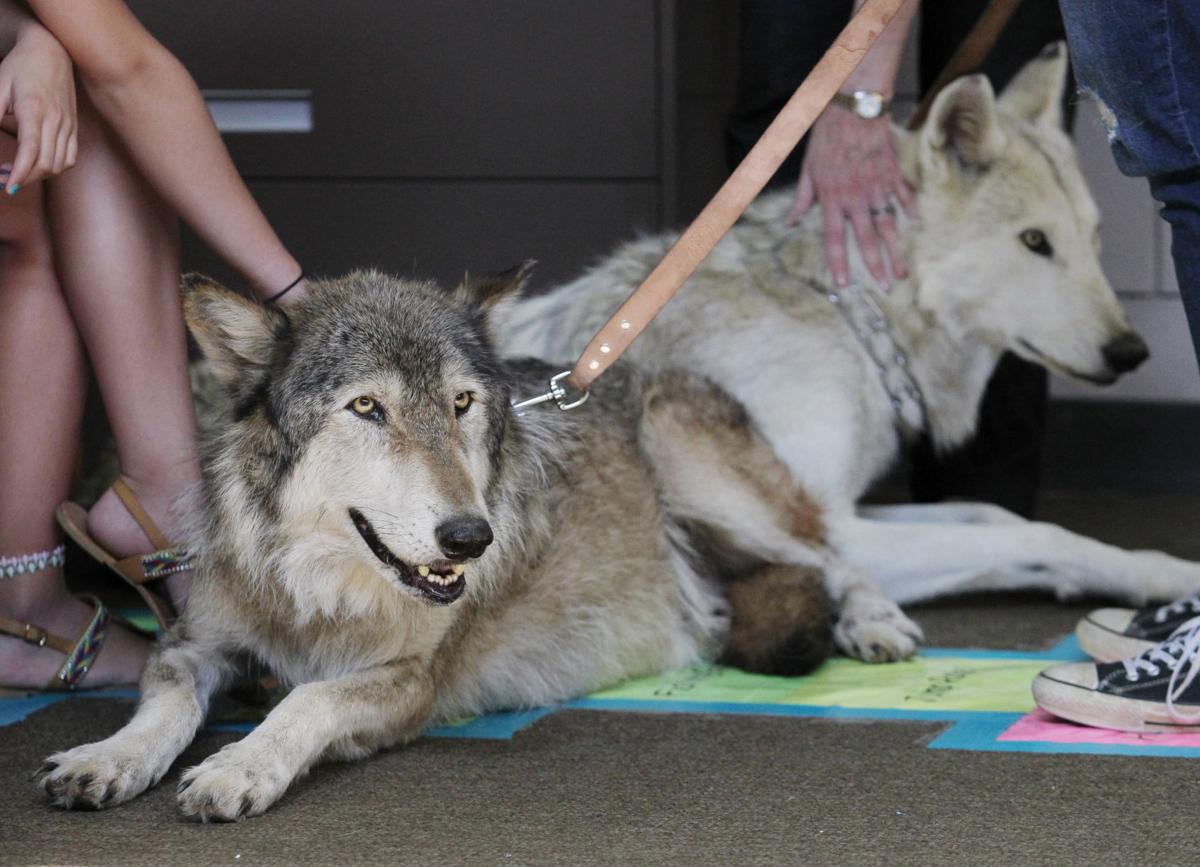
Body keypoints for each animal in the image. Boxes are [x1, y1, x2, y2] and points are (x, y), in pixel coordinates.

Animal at [37, 268, 846, 820]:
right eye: (367, 406)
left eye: (462, 402)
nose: (471, 537)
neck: (316, 589)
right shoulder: (194, 641)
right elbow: (167, 703)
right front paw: (107, 758)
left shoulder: (411, 682)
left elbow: (307, 697)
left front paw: (241, 766)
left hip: (695, 467)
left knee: (833, 552)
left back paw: (868, 626)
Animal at [500, 44, 1200, 659]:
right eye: (1035, 242)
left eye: (1094, 237)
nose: (1131, 352)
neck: (854, 322)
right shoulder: (833, 521)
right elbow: (1040, 532)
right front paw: (1167, 575)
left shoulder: (844, 506)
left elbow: (993, 513)